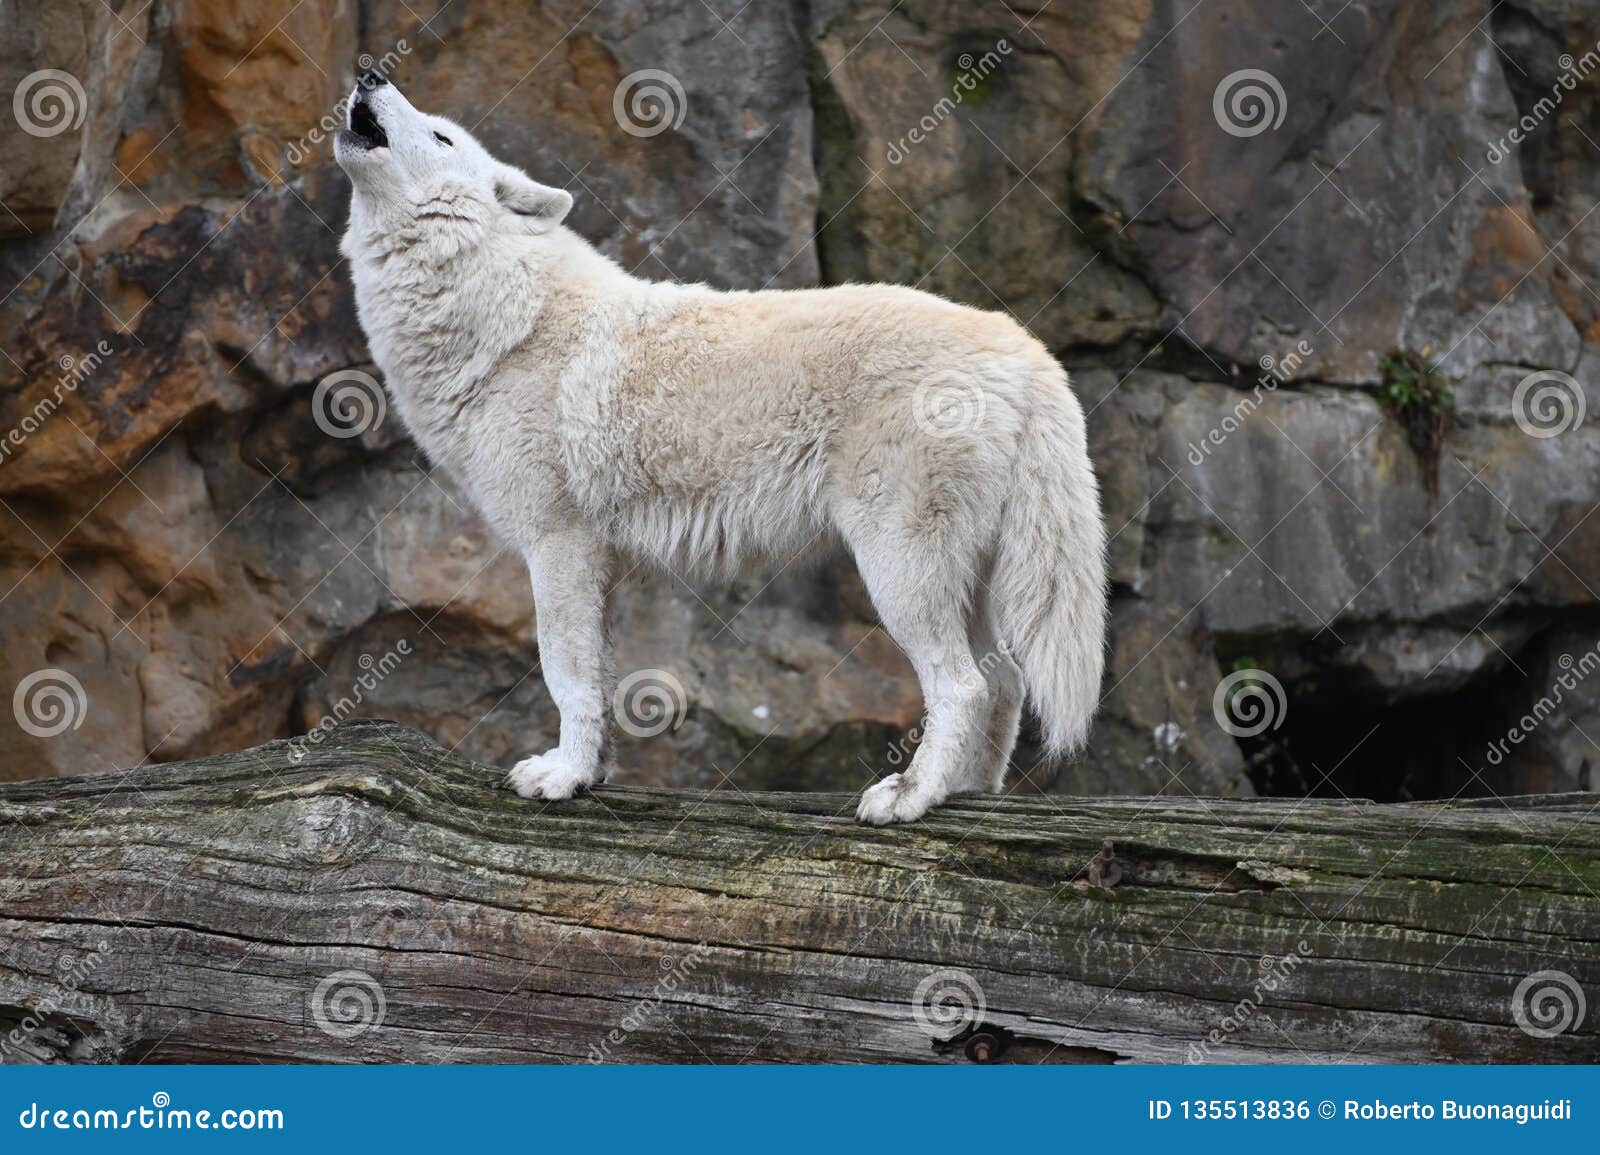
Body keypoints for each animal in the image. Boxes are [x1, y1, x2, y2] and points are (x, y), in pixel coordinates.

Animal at [333, 72, 1108, 824]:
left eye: (441, 136)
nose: (368, 74)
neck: (505, 315)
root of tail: (1026, 348)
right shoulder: (599, 562)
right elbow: (599, 679)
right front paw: (592, 775)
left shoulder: (559, 544)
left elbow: (565, 675)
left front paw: (561, 778)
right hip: (964, 576)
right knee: (1005, 681)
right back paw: (966, 799)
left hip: (900, 570)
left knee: (965, 685)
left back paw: (911, 797)